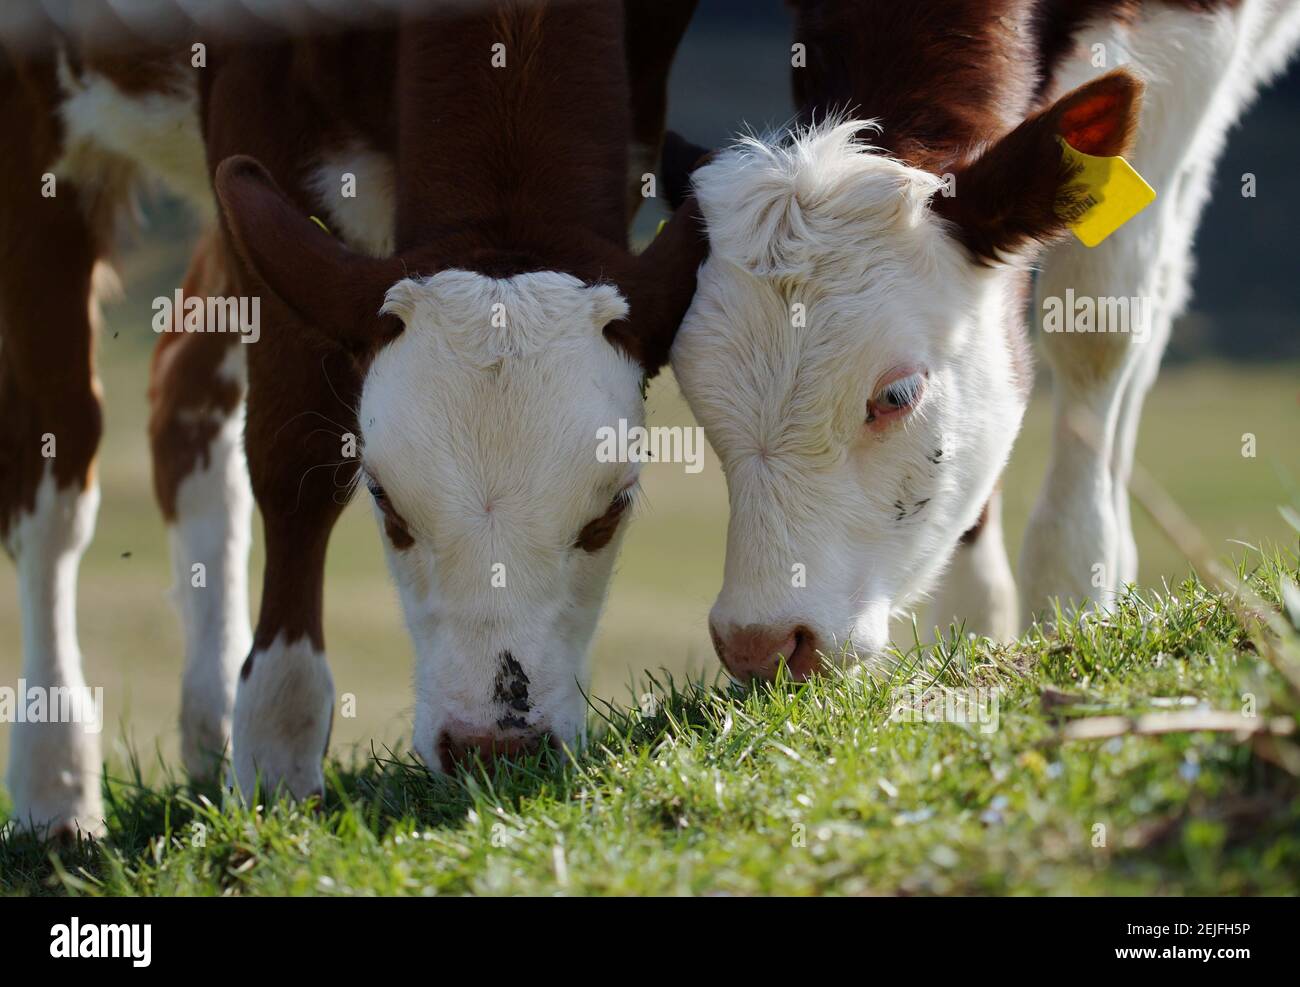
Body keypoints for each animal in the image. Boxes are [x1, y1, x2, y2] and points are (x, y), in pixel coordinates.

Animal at [0, 0, 705, 839]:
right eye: (389, 509)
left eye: (610, 512)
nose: (495, 749)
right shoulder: (258, 112)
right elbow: (296, 448)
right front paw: (276, 751)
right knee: (59, 455)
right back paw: (55, 781)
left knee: (181, 384)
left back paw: (206, 729)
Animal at [662, 0, 1300, 681]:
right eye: (695, 394)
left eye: (898, 395)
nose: (760, 644)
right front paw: (973, 627)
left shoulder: (1187, 35)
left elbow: (1099, 323)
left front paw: (1072, 594)